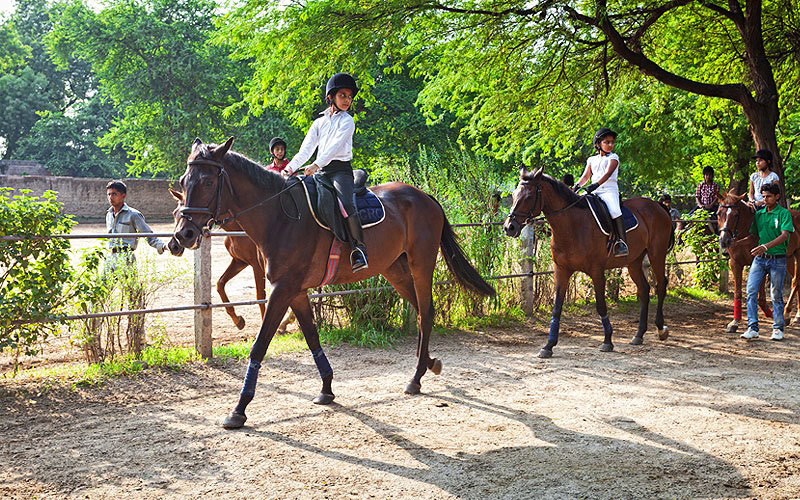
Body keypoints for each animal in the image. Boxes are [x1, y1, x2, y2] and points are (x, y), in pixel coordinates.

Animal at [166, 191, 297, 333]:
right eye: (174, 213)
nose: (173, 246)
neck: (239, 229)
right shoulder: (239, 262)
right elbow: (220, 284)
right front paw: (238, 320)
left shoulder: (257, 266)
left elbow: (260, 295)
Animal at [503, 167, 673, 358]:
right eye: (514, 194)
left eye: (528, 197)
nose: (509, 227)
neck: (572, 226)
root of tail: (657, 205)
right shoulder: (561, 270)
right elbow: (557, 308)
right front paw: (548, 345)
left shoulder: (596, 271)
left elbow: (601, 306)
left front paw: (607, 341)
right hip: (634, 261)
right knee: (644, 289)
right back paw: (639, 335)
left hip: (656, 254)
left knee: (661, 285)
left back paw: (661, 329)